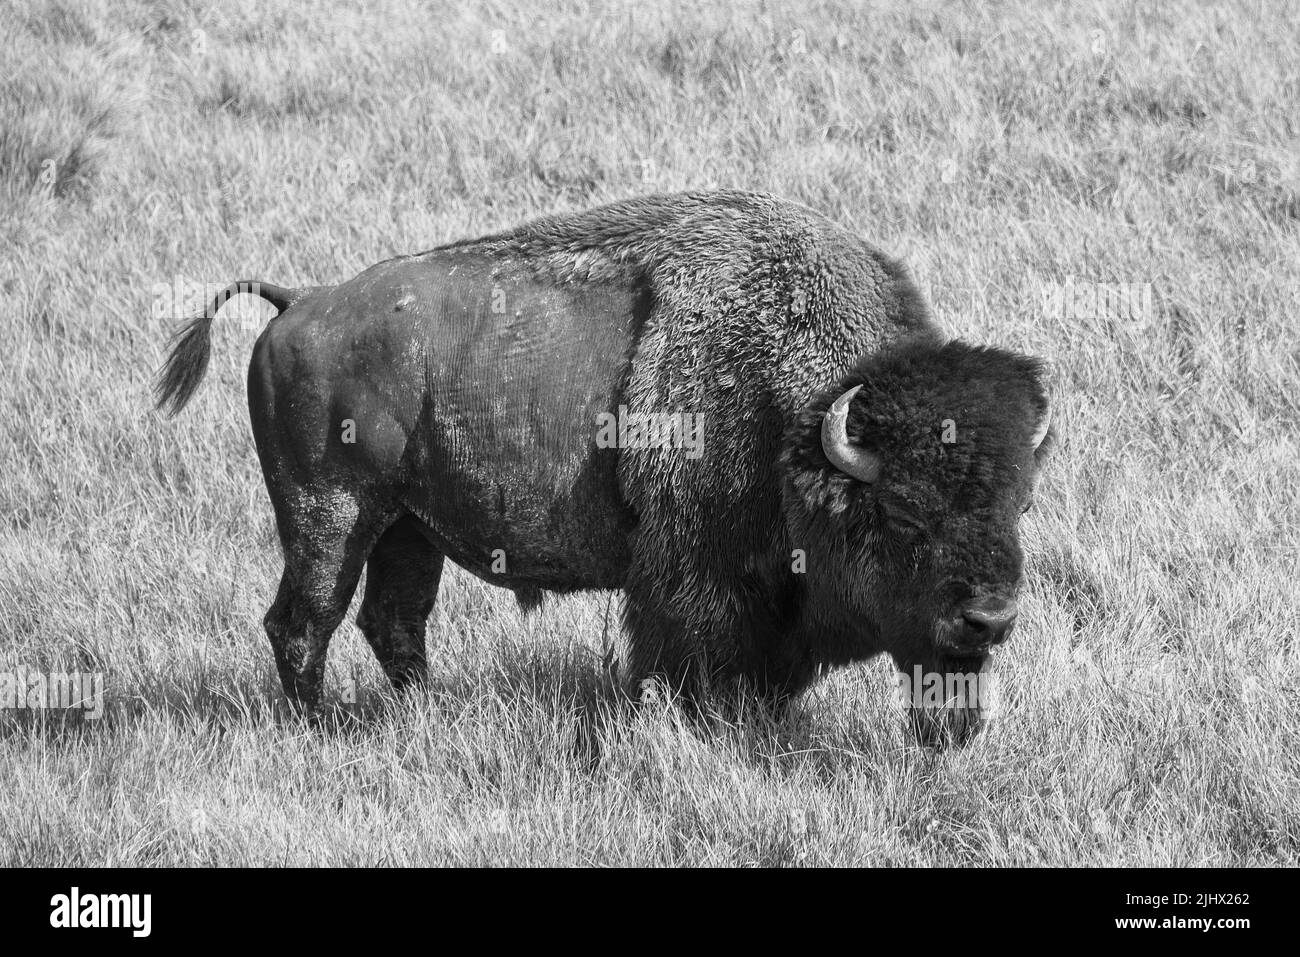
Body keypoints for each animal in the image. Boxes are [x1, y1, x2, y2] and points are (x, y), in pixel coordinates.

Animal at [156, 190, 1052, 745]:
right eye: (901, 511)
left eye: (1018, 505)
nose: (989, 619)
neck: (793, 412)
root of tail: (297, 303)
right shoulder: (688, 582)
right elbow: (684, 661)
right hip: (329, 515)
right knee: (304, 620)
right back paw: (323, 728)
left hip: (407, 528)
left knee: (393, 620)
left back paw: (422, 715)